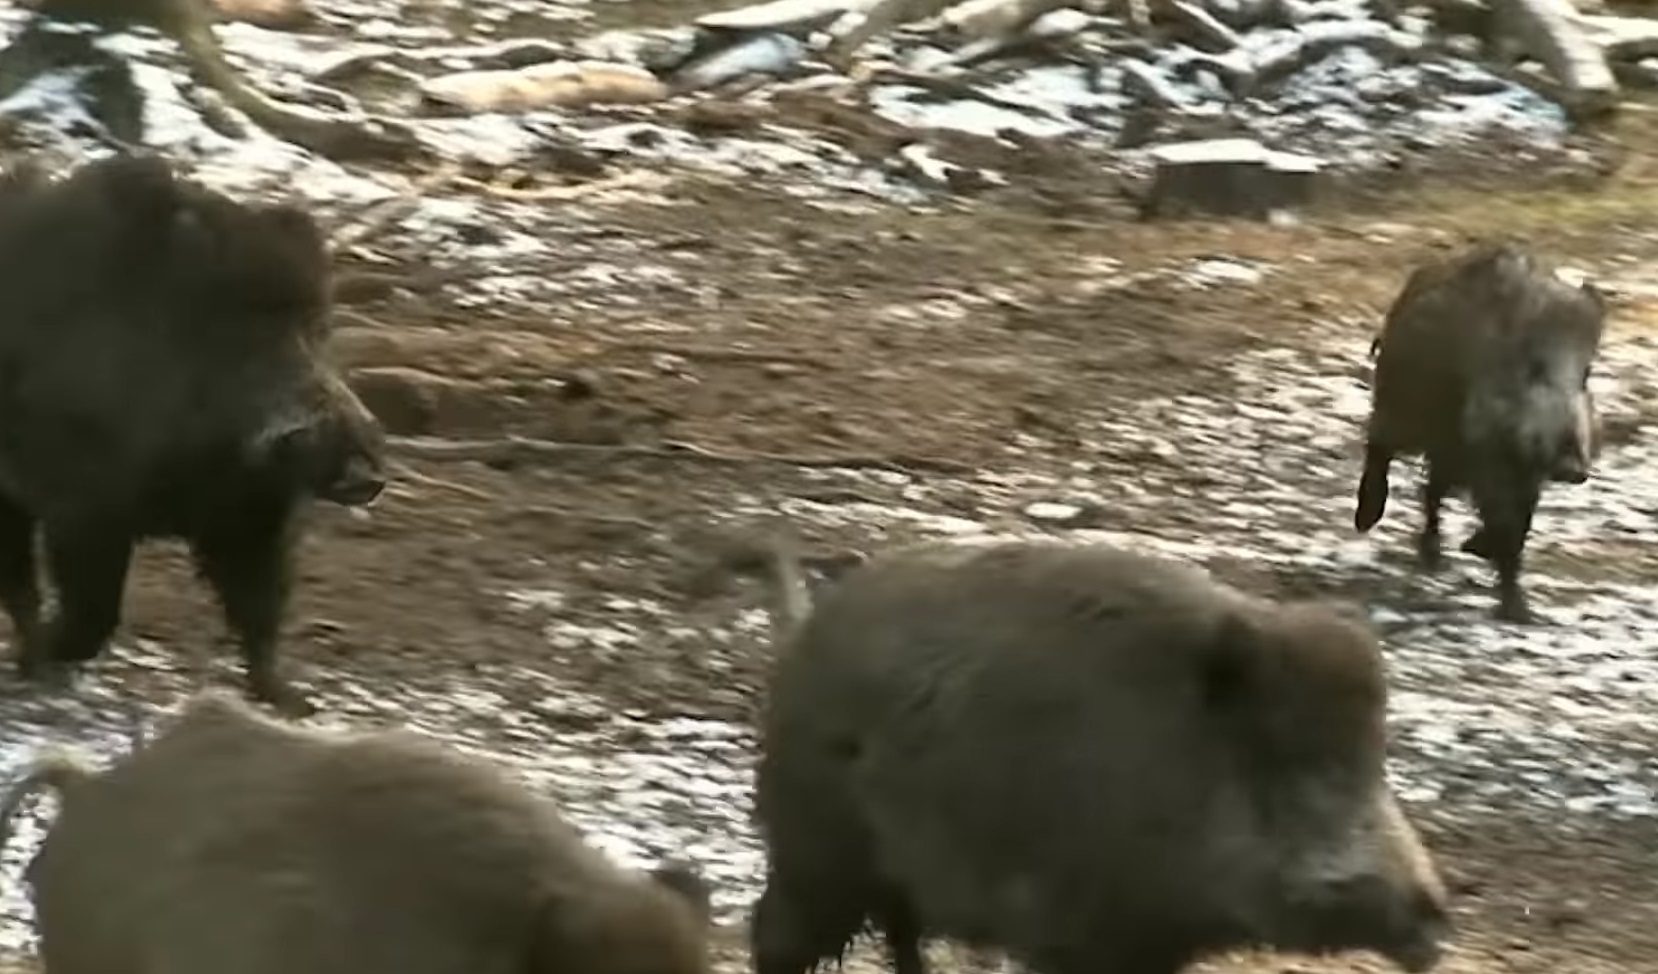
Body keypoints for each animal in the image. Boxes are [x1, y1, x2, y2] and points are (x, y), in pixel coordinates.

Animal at [0, 152, 388, 714]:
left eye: (318, 332)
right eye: (246, 337)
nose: (367, 473)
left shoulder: (249, 518)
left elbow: (260, 605)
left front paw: (292, 702)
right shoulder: (85, 506)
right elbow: (95, 610)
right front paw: (49, 663)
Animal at [749, 538, 1451, 974]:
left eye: (1376, 760)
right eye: (1301, 761)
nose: (1435, 914)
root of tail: (804, 636)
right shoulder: (1080, 930)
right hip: (816, 857)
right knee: (774, 935)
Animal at [1354, 241, 1606, 624]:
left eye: (1586, 375)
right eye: (1534, 369)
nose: (1575, 469)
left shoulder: (1521, 471)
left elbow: (1520, 524)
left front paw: (1516, 604)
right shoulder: (1483, 452)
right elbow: (1505, 524)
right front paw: (1516, 611)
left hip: (1440, 448)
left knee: (1431, 492)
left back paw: (1434, 556)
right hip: (1400, 407)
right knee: (1379, 446)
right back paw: (1366, 521)